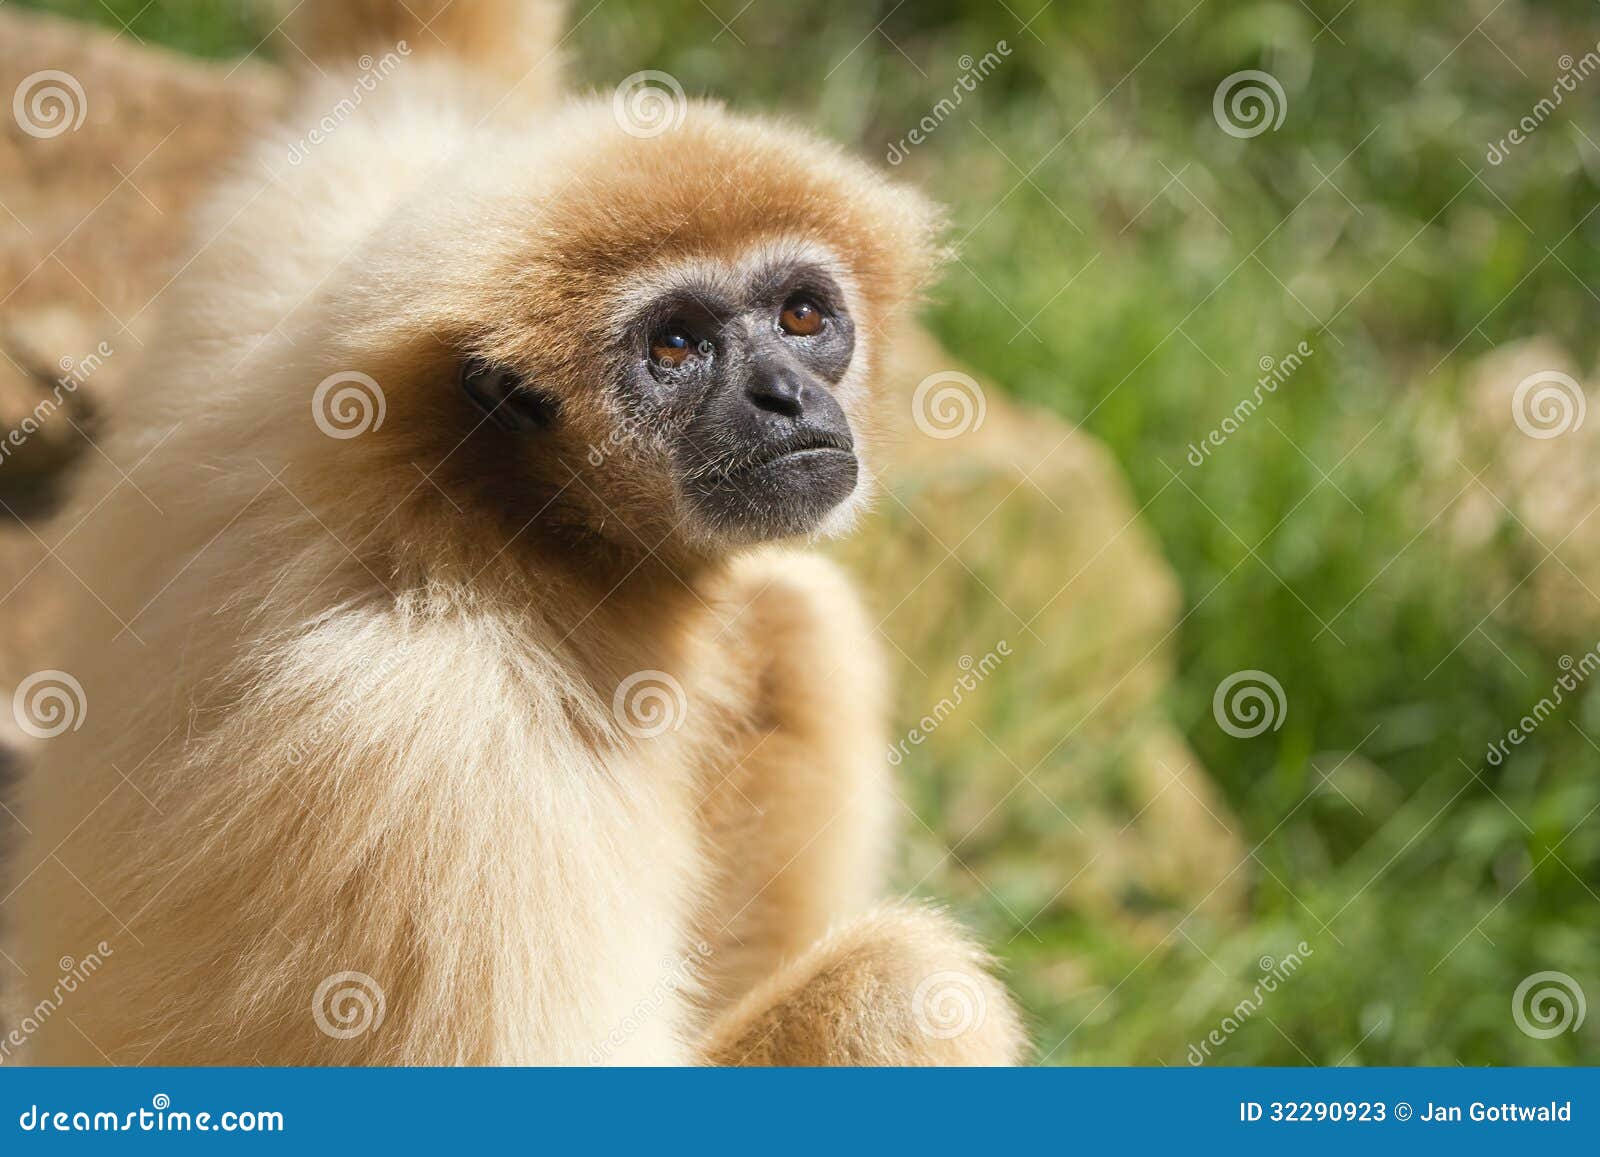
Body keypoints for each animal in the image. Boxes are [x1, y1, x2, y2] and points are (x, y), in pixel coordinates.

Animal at [0, 0, 1026, 1065]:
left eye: (801, 315)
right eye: (676, 347)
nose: (785, 394)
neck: (488, 521)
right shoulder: (438, 748)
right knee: (911, 987)